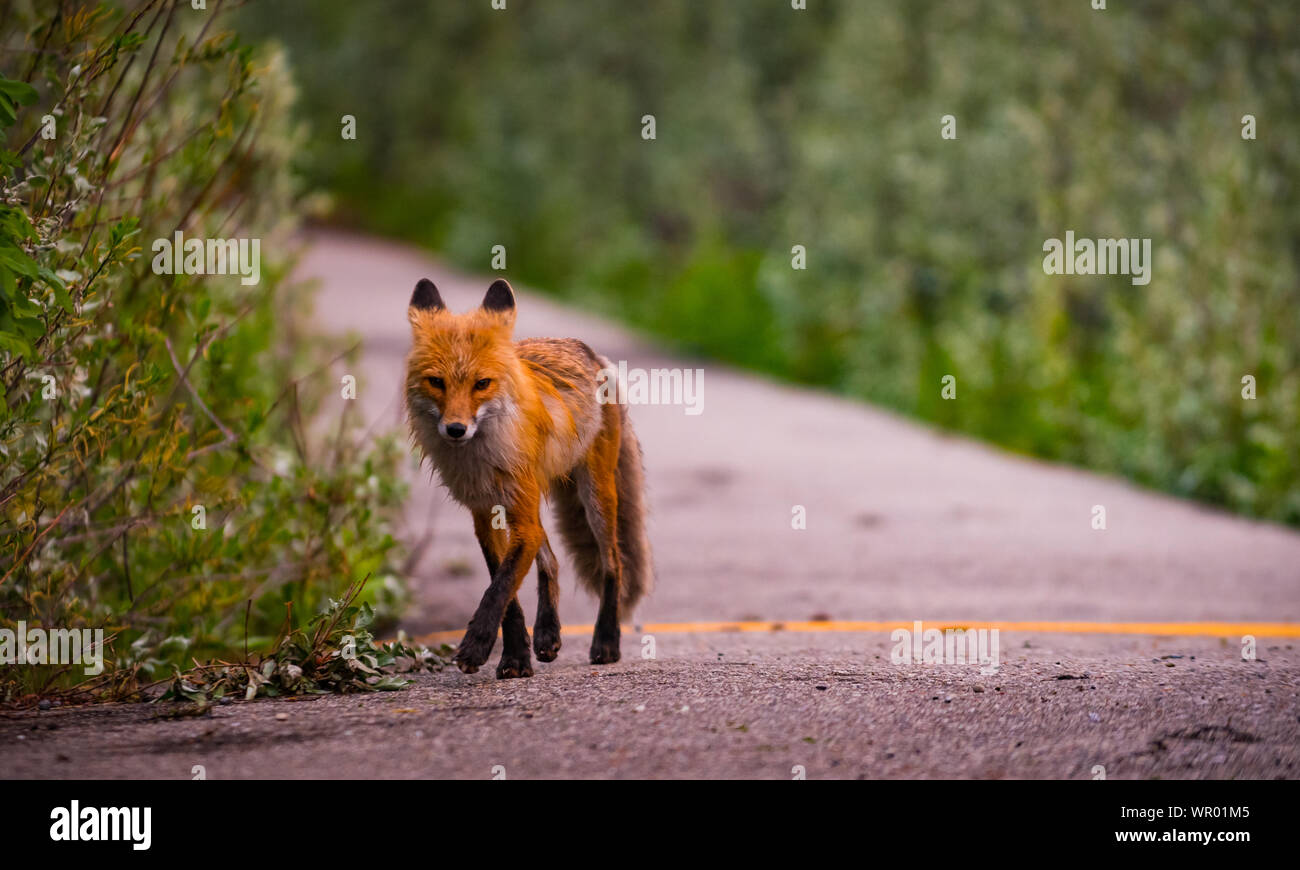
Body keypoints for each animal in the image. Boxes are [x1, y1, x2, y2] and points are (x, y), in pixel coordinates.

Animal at [404, 277, 653, 679]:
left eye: (482, 383)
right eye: (436, 382)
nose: (455, 429)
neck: (481, 458)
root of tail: (587, 350)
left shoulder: (518, 513)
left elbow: (499, 588)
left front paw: (477, 646)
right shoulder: (485, 514)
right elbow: (505, 590)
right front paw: (516, 656)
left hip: (595, 496)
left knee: (612, 562)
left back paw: (606, 642)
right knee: (550, 558)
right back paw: (548, 634)